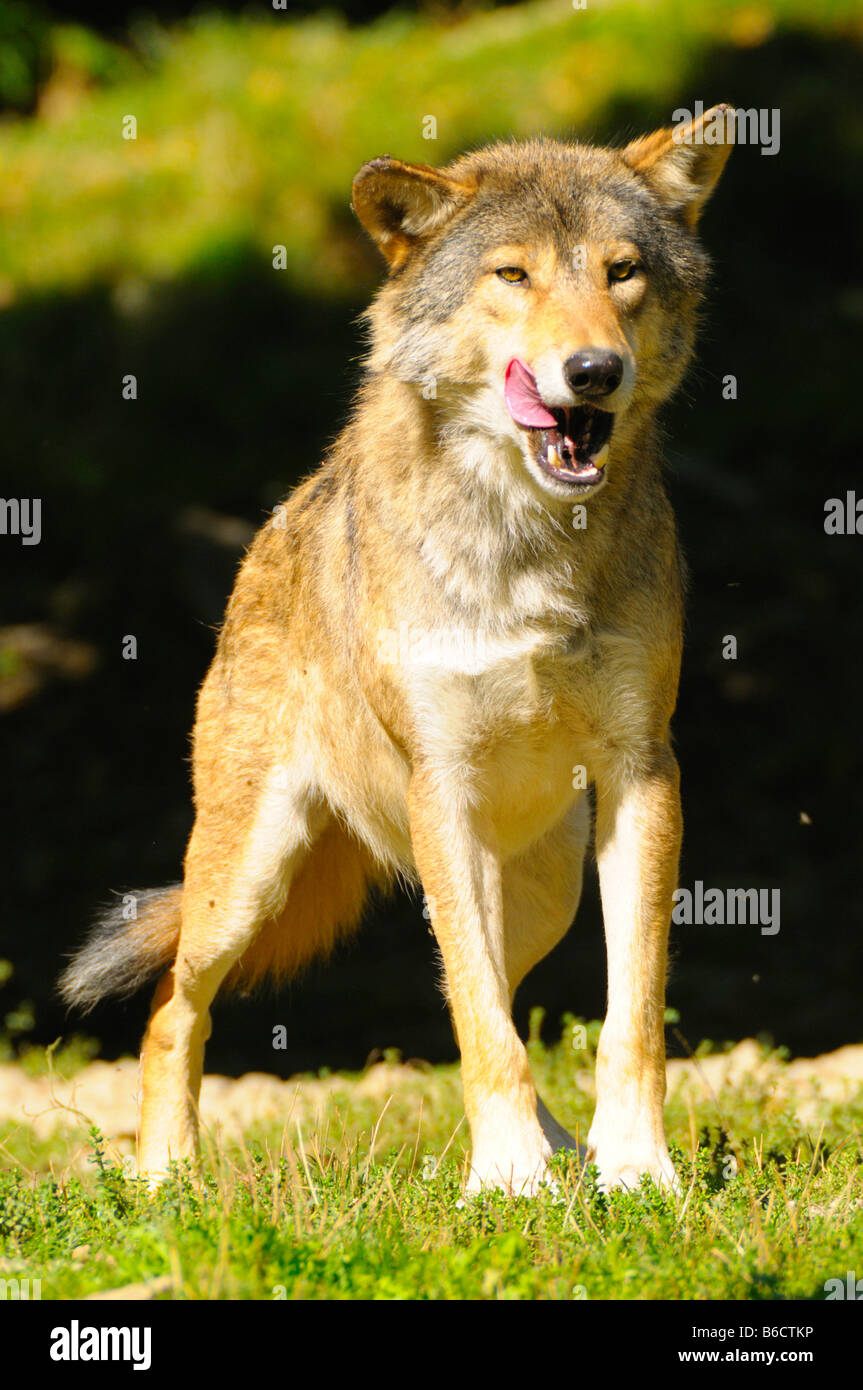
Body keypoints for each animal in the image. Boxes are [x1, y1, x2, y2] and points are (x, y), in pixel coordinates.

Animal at [60, 105, 733, 1195]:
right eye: (513, 275)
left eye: (622, 271)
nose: (593, 371)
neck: (523, 547)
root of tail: (272, 526)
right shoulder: (439, 781)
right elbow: (480, 1024)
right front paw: (506, 1183)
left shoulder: (645, 771)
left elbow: (622, 1016)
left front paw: (634, 1172)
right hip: (245, 880)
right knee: (175, 1002)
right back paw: (166, 1181)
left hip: (542, 891)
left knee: (494, 991)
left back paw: (566, 1153)